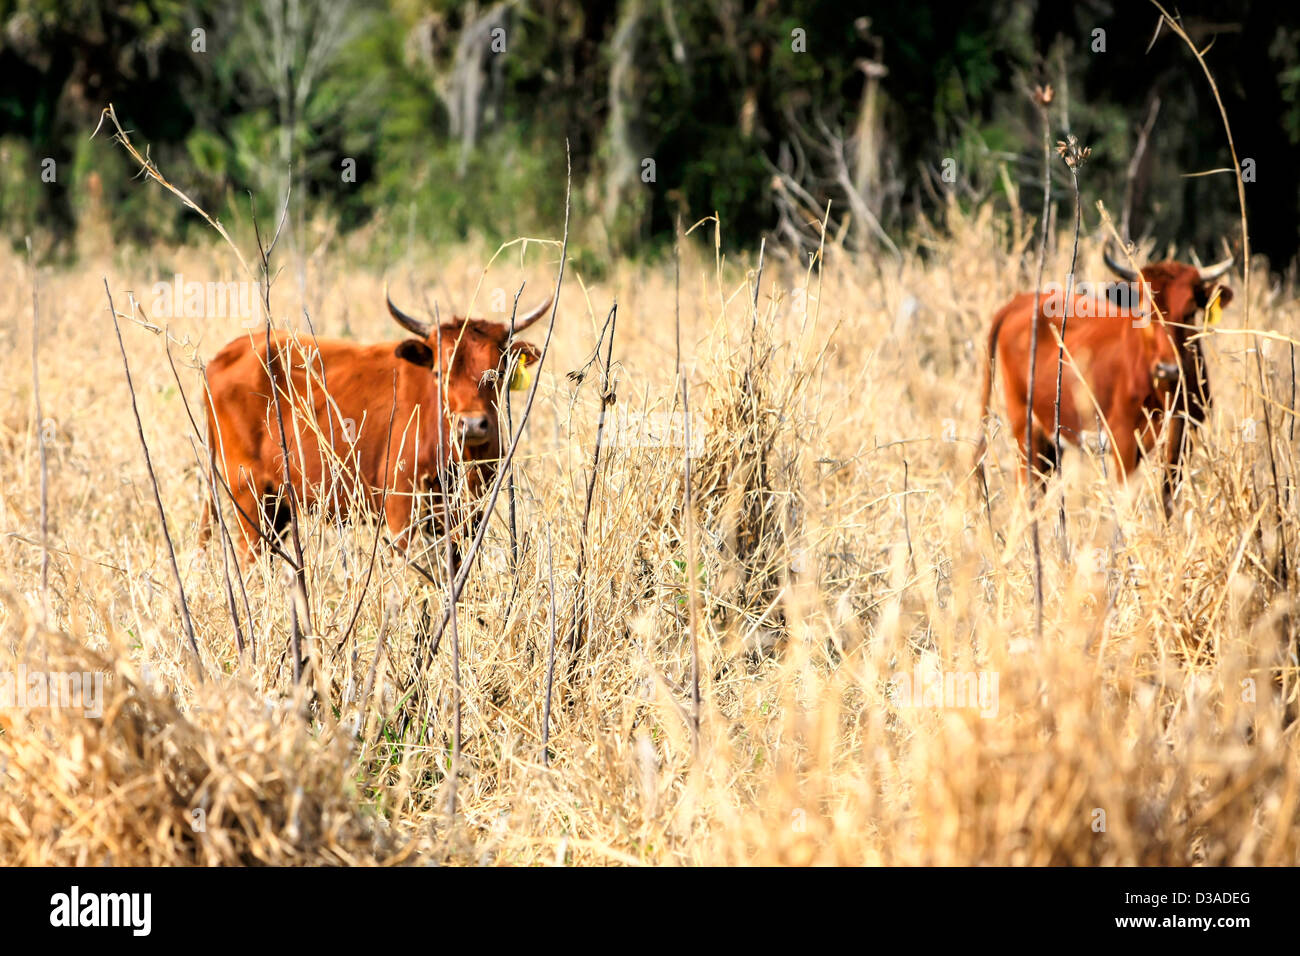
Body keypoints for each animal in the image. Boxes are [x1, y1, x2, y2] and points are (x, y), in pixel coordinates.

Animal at [200, 289, 551, 562]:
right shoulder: (400, 512)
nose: (473, 425)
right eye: (439, 373)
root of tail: (231, 351)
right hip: (250, 497)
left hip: (280, 507)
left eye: (499, 371)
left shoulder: (468, 514)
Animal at [973, 244, 1233, 514]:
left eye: (1190, 313)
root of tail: (1019, 302)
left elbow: (1168, 501)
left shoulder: (1183, 439)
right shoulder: (1123, 441)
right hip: (1025, 429)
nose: (1168, 368)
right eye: (1143, 312)